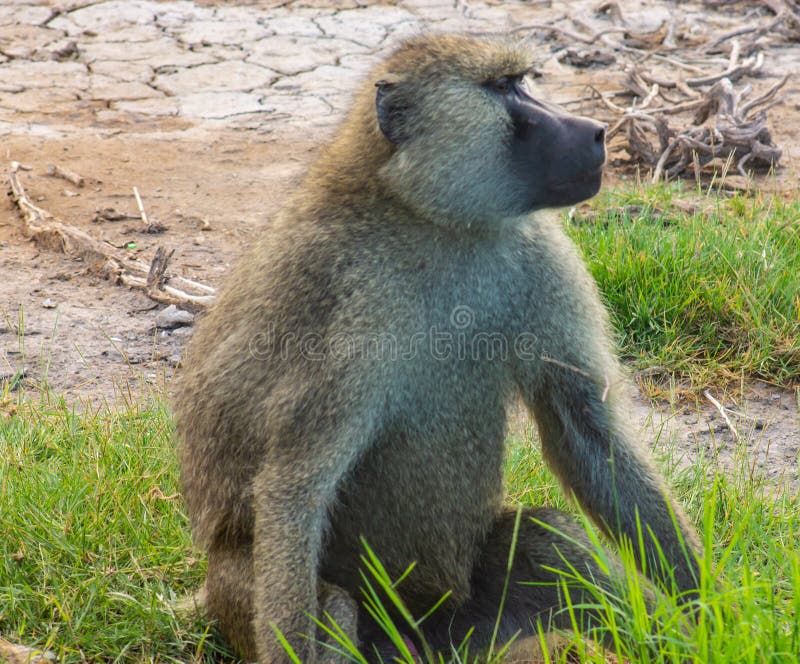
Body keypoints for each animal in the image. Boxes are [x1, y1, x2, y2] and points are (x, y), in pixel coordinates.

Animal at [174, 33, 704, 663]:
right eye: (502, 88)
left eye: (521, 82)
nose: (596, 131)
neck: (428, 219)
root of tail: (424, 639)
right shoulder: (348, 294)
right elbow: (295, 484)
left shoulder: (537, 253)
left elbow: (585, 427)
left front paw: (718, 613)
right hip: (248, 594)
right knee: (331, 604)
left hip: (476, 625)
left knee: (548, 540)